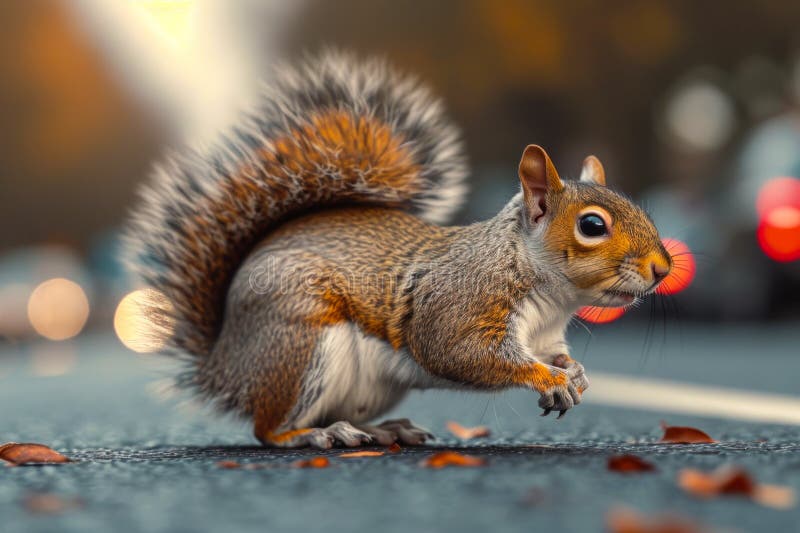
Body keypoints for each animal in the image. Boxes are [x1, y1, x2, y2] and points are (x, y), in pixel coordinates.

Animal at [124, 52, 672, 449]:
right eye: (592, 225)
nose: (664, 269)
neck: (546, 290)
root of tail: (223, 365)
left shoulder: (546, 332)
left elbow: (556, 354)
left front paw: (573, 373)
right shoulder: (460, 305)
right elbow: (460, 350)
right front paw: (544, 377)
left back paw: (383, 430)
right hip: (298, 346)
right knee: (268, 429)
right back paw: (317, 434)